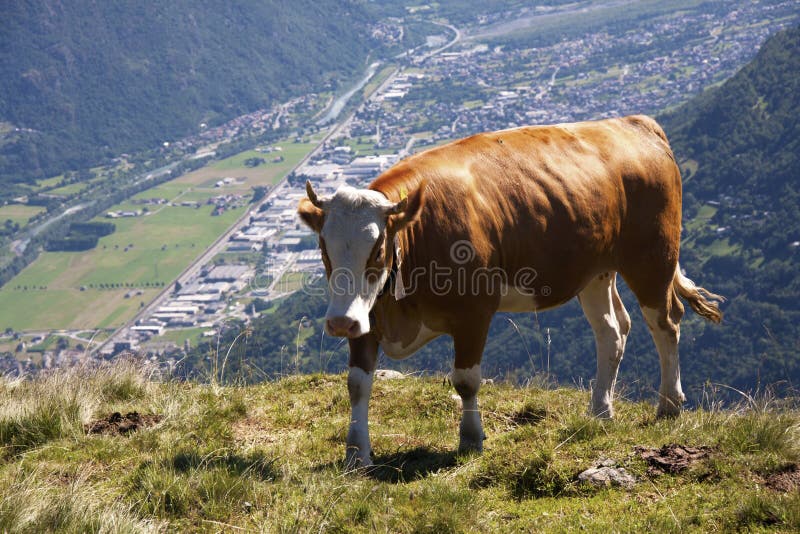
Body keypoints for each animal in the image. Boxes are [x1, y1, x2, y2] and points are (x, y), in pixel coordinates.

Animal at [298, 115, 723, 469]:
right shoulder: (367, 320)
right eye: (324, 248)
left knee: (666, 323)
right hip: (595, 271)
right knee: (613, 331)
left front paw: (470, 440)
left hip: (653, 258)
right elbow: (357, 384)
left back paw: (668, 405)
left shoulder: (474, 313)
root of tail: (634, 123)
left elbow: (465, 380)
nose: (339, 322)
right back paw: (600, 410)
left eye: (378, 249)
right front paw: (357, 453)